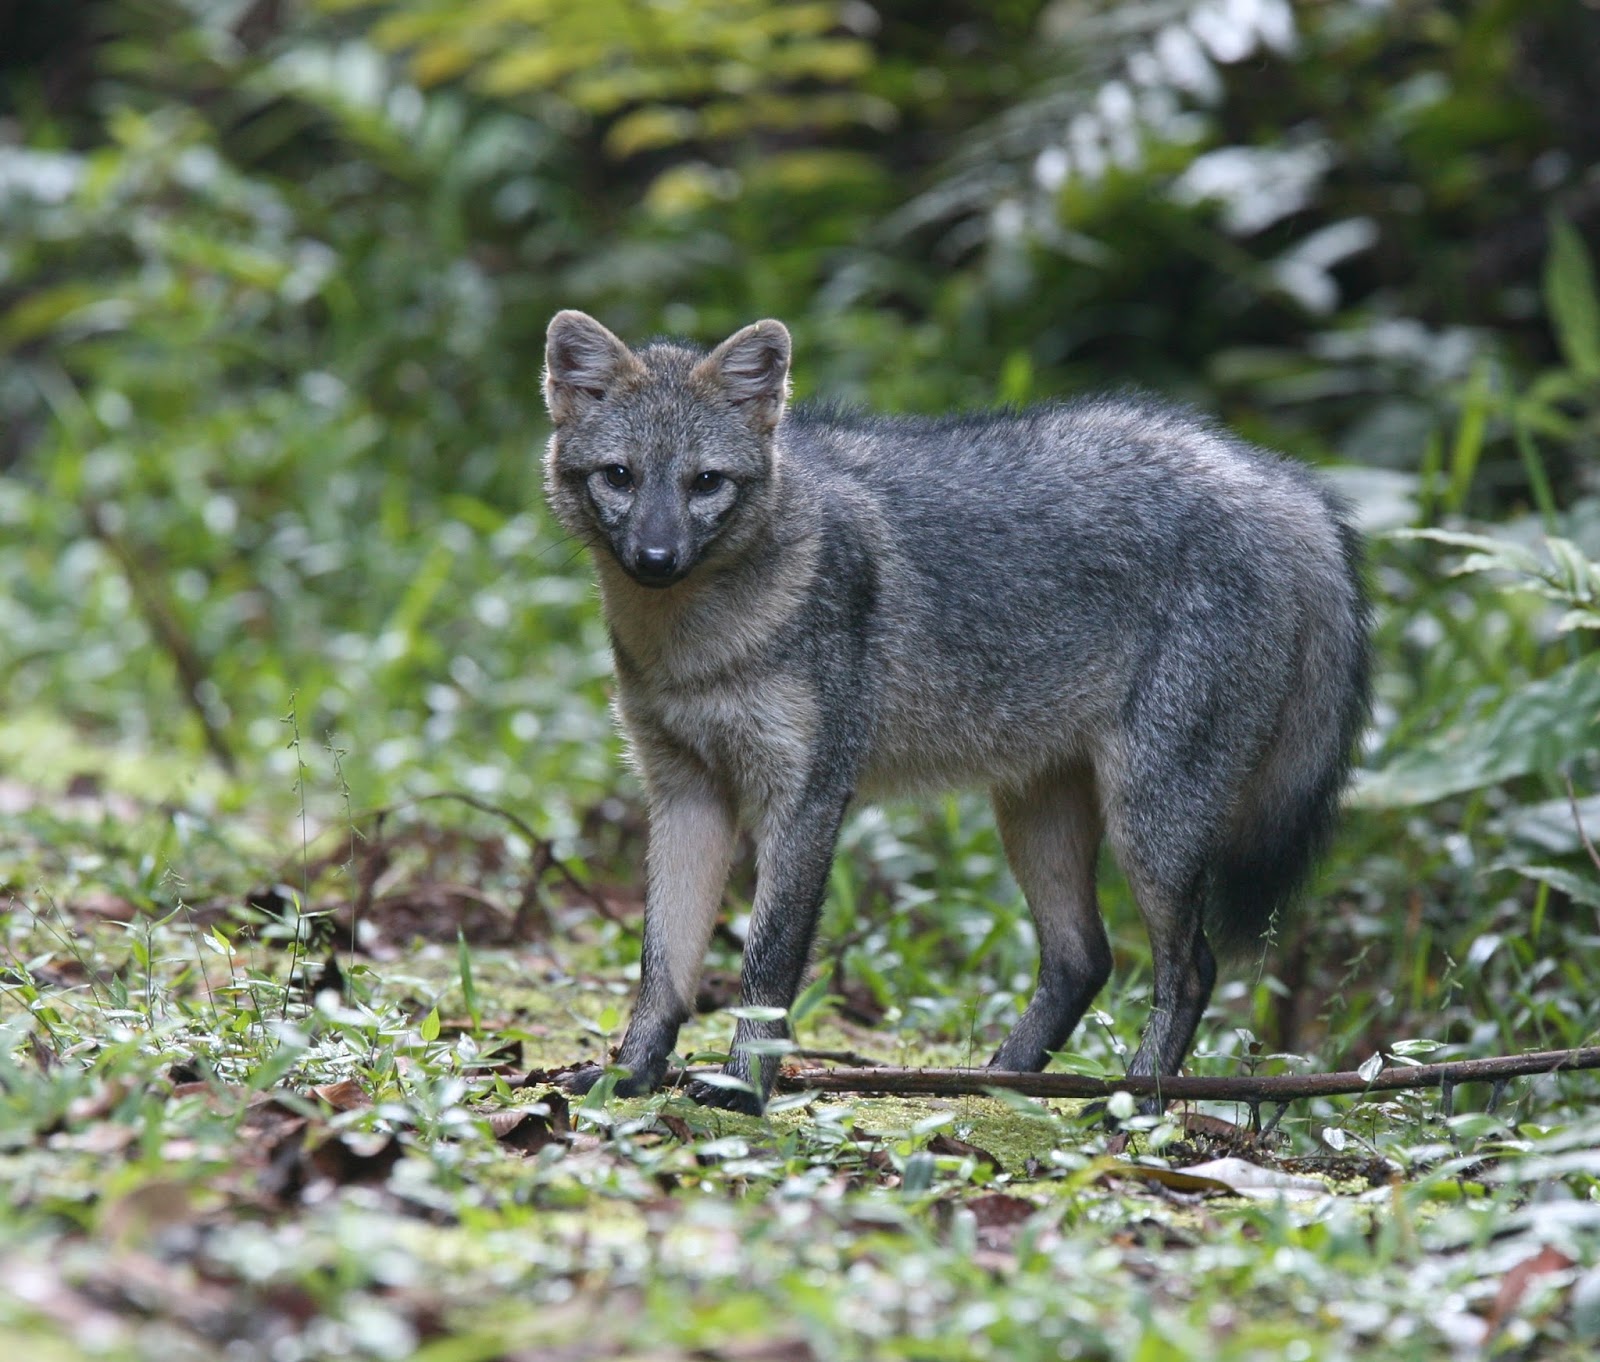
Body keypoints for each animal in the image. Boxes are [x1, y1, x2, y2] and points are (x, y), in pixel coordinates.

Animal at [543, 309, 1370, 1115]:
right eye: (620, 476)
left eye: (706, 482)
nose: (656, 559)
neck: (697, 647)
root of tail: (1272, 476)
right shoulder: (686, 791)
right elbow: (662, 966)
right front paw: (631, 1075)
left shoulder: (806, 796)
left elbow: (767, 964)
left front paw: (743, 1090)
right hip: (1039, 815)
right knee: (1083, 959)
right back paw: (1004, 1080)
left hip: (1150, 825)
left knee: (1191, 967)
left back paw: (1133, 1103)